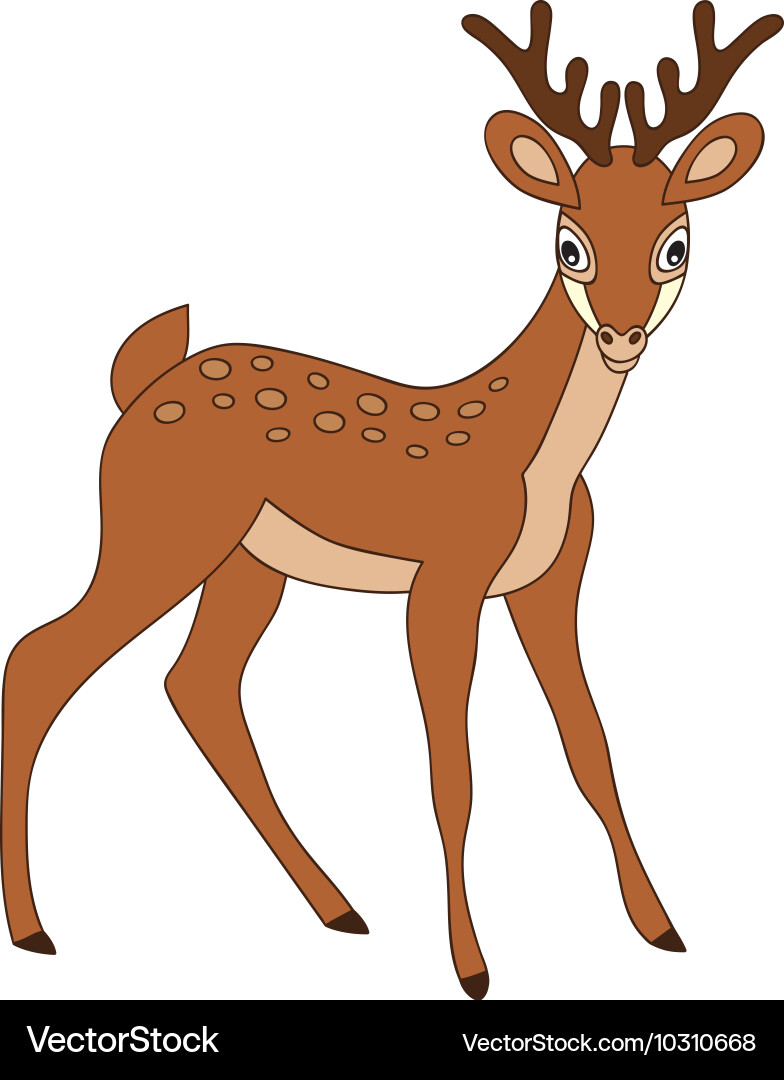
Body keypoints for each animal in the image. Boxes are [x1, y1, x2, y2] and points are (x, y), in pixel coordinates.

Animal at [2, 2, 781, 1000]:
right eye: (567, 243)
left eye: (676, 242)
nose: (621, 332)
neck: (537, 466)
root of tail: (135, 386)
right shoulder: (444, 580)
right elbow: (454, 774)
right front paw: (473, 967)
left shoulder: (550, 581)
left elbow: (591, 747)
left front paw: (662, 928)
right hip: (159, 532)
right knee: (40, 658)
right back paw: (35, 932)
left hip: (248, 562)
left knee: (198, 683)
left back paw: (339, 907)